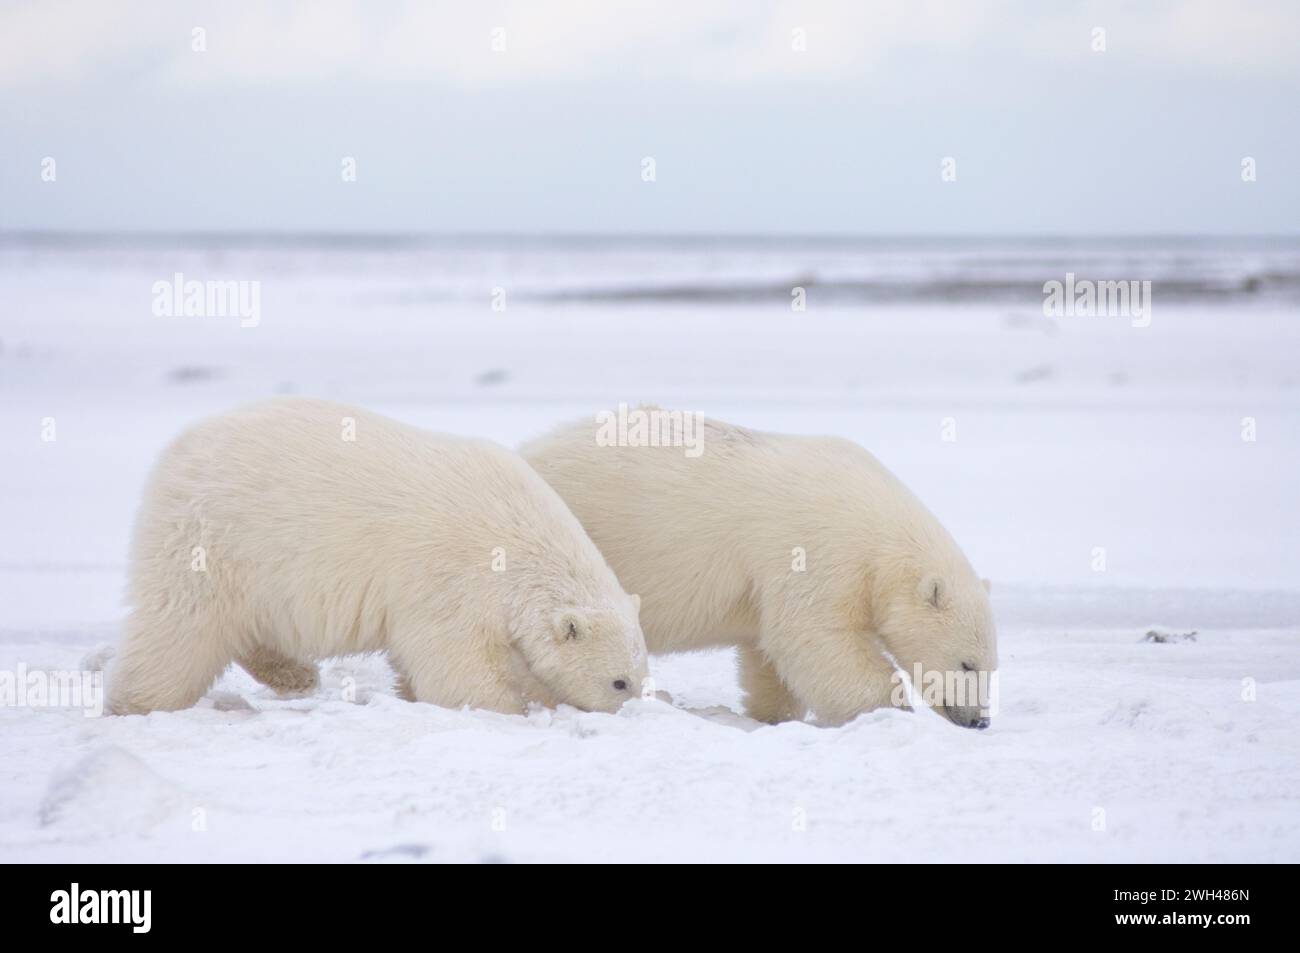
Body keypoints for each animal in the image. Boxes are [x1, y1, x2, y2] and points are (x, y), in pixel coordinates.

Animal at [109, 398, 649, 716]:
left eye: (642, 677)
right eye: (619, 682)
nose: (635, 713)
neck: (518, 535)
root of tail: (179, 449)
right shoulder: (452, 579)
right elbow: (455, 660)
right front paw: (501, 709)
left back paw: (294, 672)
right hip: (213, 538)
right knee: (182, 627)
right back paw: (139, 701)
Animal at [521, 407, 996, 728]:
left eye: (991, 666)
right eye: (967, 663)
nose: (979, 719)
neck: (877, 522)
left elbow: (767, 653)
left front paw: (772, 714)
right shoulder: (820, 547)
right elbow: (815, 635)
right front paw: (885, 707)